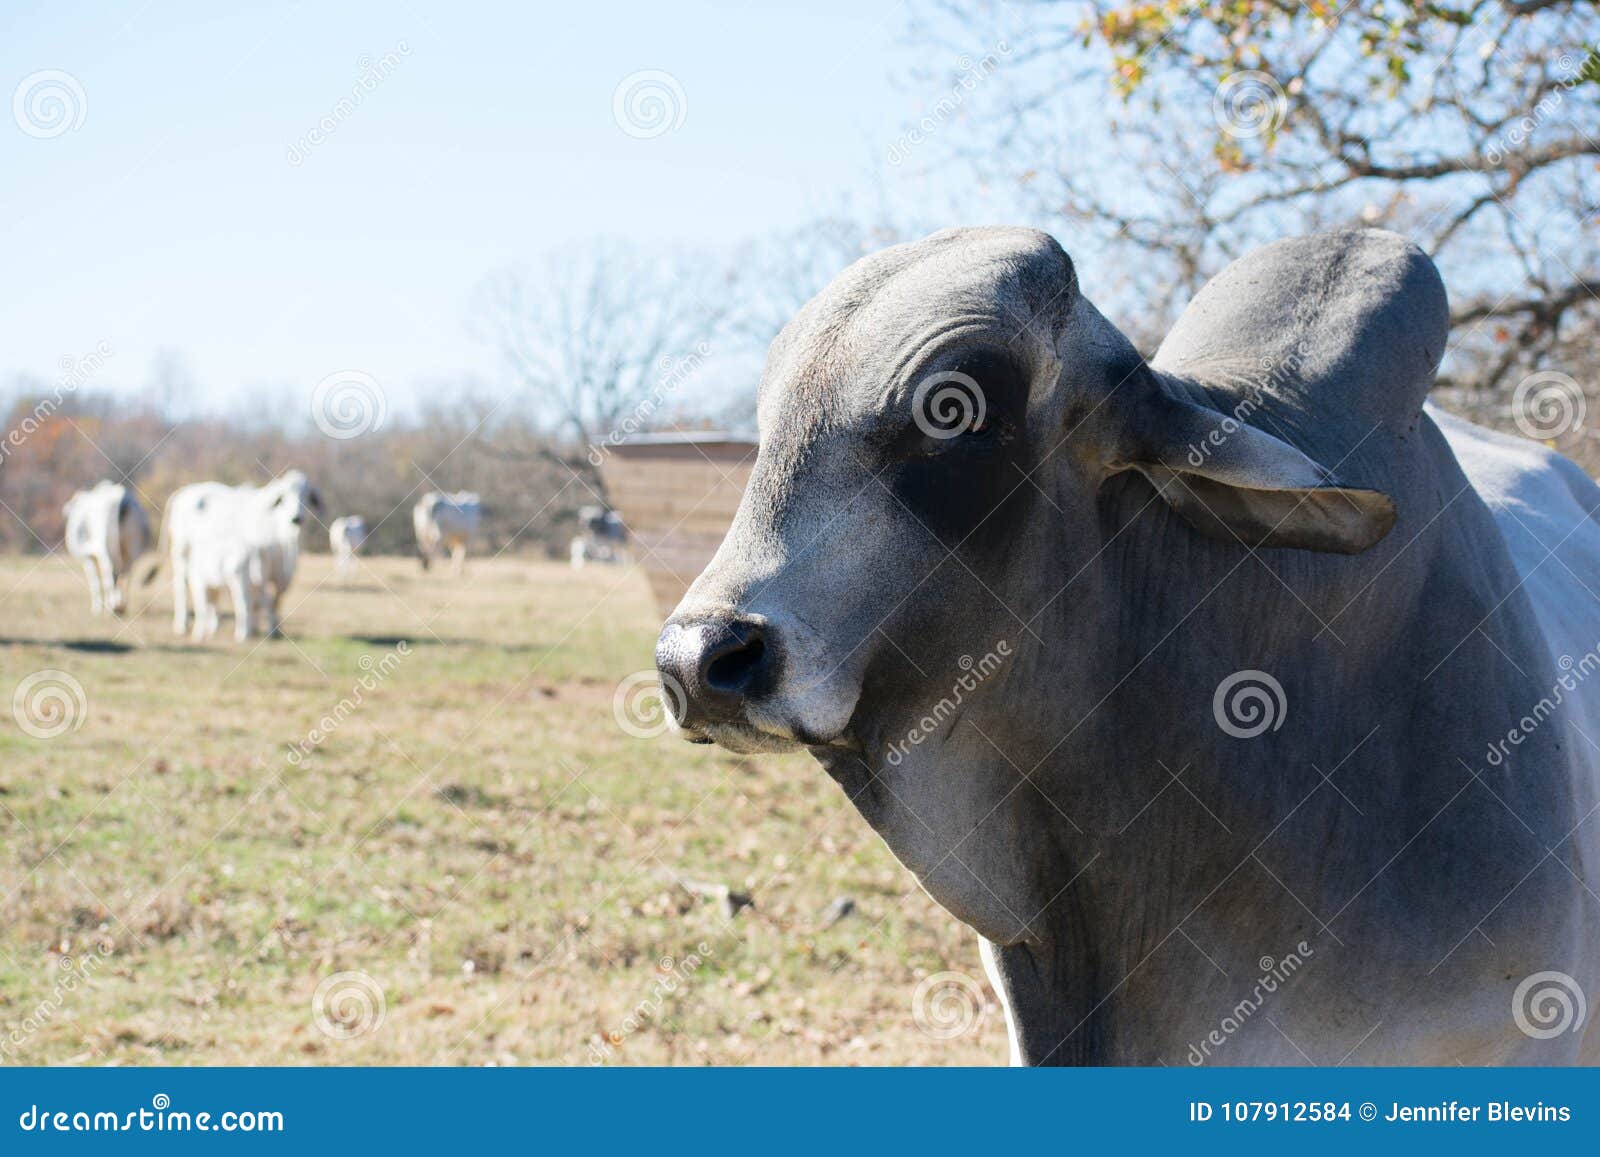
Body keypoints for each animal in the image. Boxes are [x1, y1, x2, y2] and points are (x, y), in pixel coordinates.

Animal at [62, 480, 151, 615]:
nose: (65, 509)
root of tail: (121, 498)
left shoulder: (87, 557)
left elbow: (95, 582)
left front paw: (96, 609)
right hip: (133, 548)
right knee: (127, 573)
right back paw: (121, 606)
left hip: (106, 548)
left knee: (110, 574)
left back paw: (112, 608)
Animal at [163, 470, 323, 640]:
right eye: (283, 498)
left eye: (307, 495)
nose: (296, 518)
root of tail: (186, 490)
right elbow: (262, 601)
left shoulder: (279, 577)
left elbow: (273, 601)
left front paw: (270, 630)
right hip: (181, 554)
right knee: (182, 587)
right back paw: (182, 625)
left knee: (214, 594)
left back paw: (214, 626)